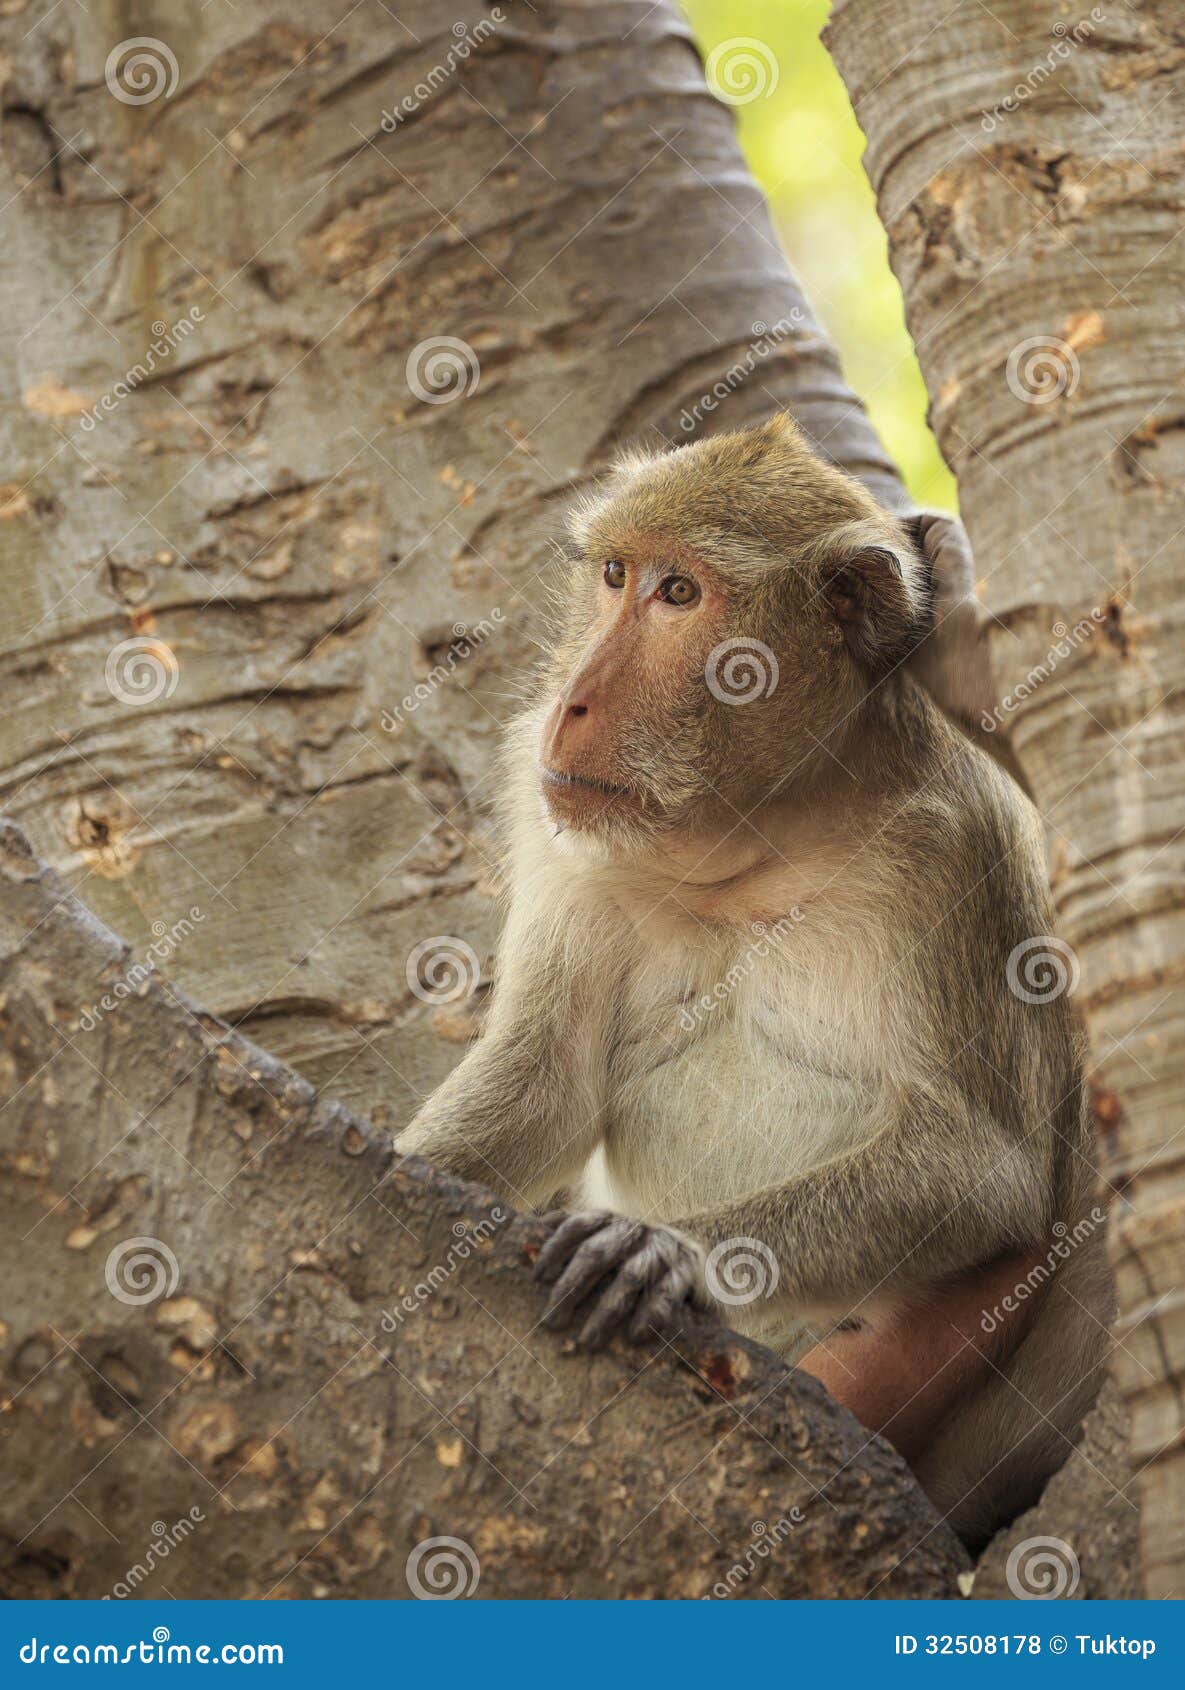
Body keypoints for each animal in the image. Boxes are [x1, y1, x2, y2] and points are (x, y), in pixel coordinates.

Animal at [397, 414, 1112, 1549]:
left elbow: (984, 1164)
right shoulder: (561, 830)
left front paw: (668, 1254)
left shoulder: (958, 854)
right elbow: (544, 1080)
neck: (764, 834)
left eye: (680, 594)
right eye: (614, 575)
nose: (572, 702)